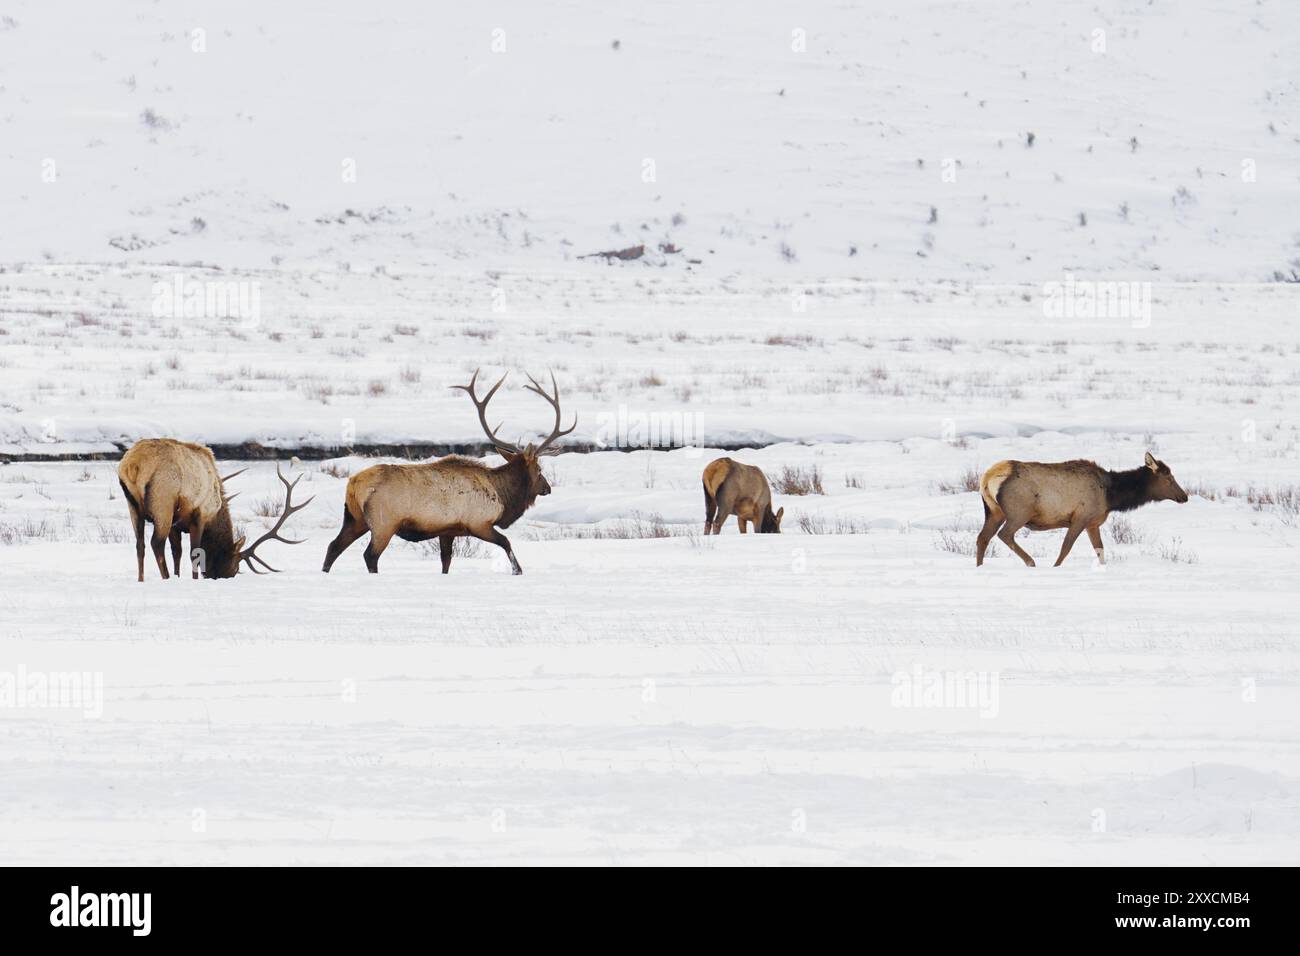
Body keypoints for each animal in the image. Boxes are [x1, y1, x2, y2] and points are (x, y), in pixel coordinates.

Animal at [118, 438, 314, 581]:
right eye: (235, 566)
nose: (223, 576)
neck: (215, 514)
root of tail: (132, 465)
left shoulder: (176, 524)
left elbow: (177, 552)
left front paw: (178, 576)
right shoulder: (199, 515)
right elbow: (195, 553)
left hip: (134, 506)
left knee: (140, 545)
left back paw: (141, 579)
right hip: (163, 501)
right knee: (156, 543)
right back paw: (165, 578)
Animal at [322, 369, 574, 576]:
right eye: (539, 469)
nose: (547, 488)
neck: (503, 496)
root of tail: (354, 484)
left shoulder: (447, 531)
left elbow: (446, 561)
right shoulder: (479, 523)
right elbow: (506, 543)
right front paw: (517, 571)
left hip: (354, 518)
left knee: (333, 546)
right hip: (384, 523)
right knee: (370, 555)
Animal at [975, 452, 1189, 568]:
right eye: (1168, 478)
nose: (1184, 496)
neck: (1111, 496)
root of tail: (988, 477)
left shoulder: (1093, 523)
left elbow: (1100, 549)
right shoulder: (1081, 517)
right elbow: (1066, 547)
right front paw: (1055, 566)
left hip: (993, 511)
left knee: (982, 537)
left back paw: (979, 566)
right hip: (1018, 512)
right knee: (1004, 534)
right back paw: (1030, 562)